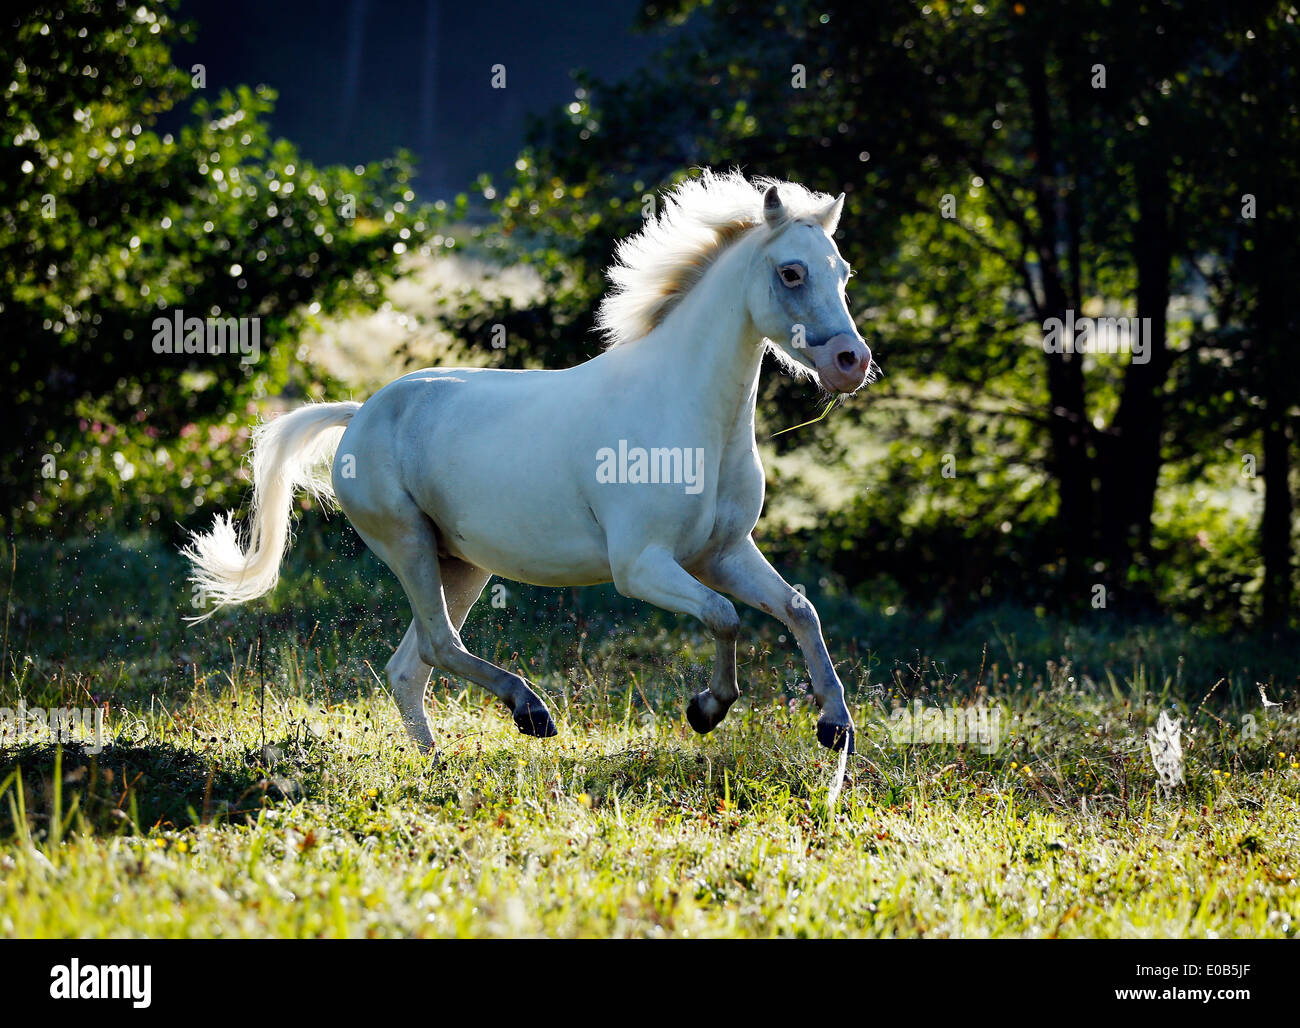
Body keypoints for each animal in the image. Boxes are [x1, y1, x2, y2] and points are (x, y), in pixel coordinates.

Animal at [184, 170, 876, 755]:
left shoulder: (724, 553)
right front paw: (706, 710)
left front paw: (834, 725)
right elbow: (725, 616)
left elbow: (798, 609)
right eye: (791, 272)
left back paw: (436, 766)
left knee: (409, 667)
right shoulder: (641, 565)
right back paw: (531, 711)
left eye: (841, 271)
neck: (690, 417)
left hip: (460, 563)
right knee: (439, 644)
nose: (852, 362)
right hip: (408, 543)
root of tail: (361, 413)